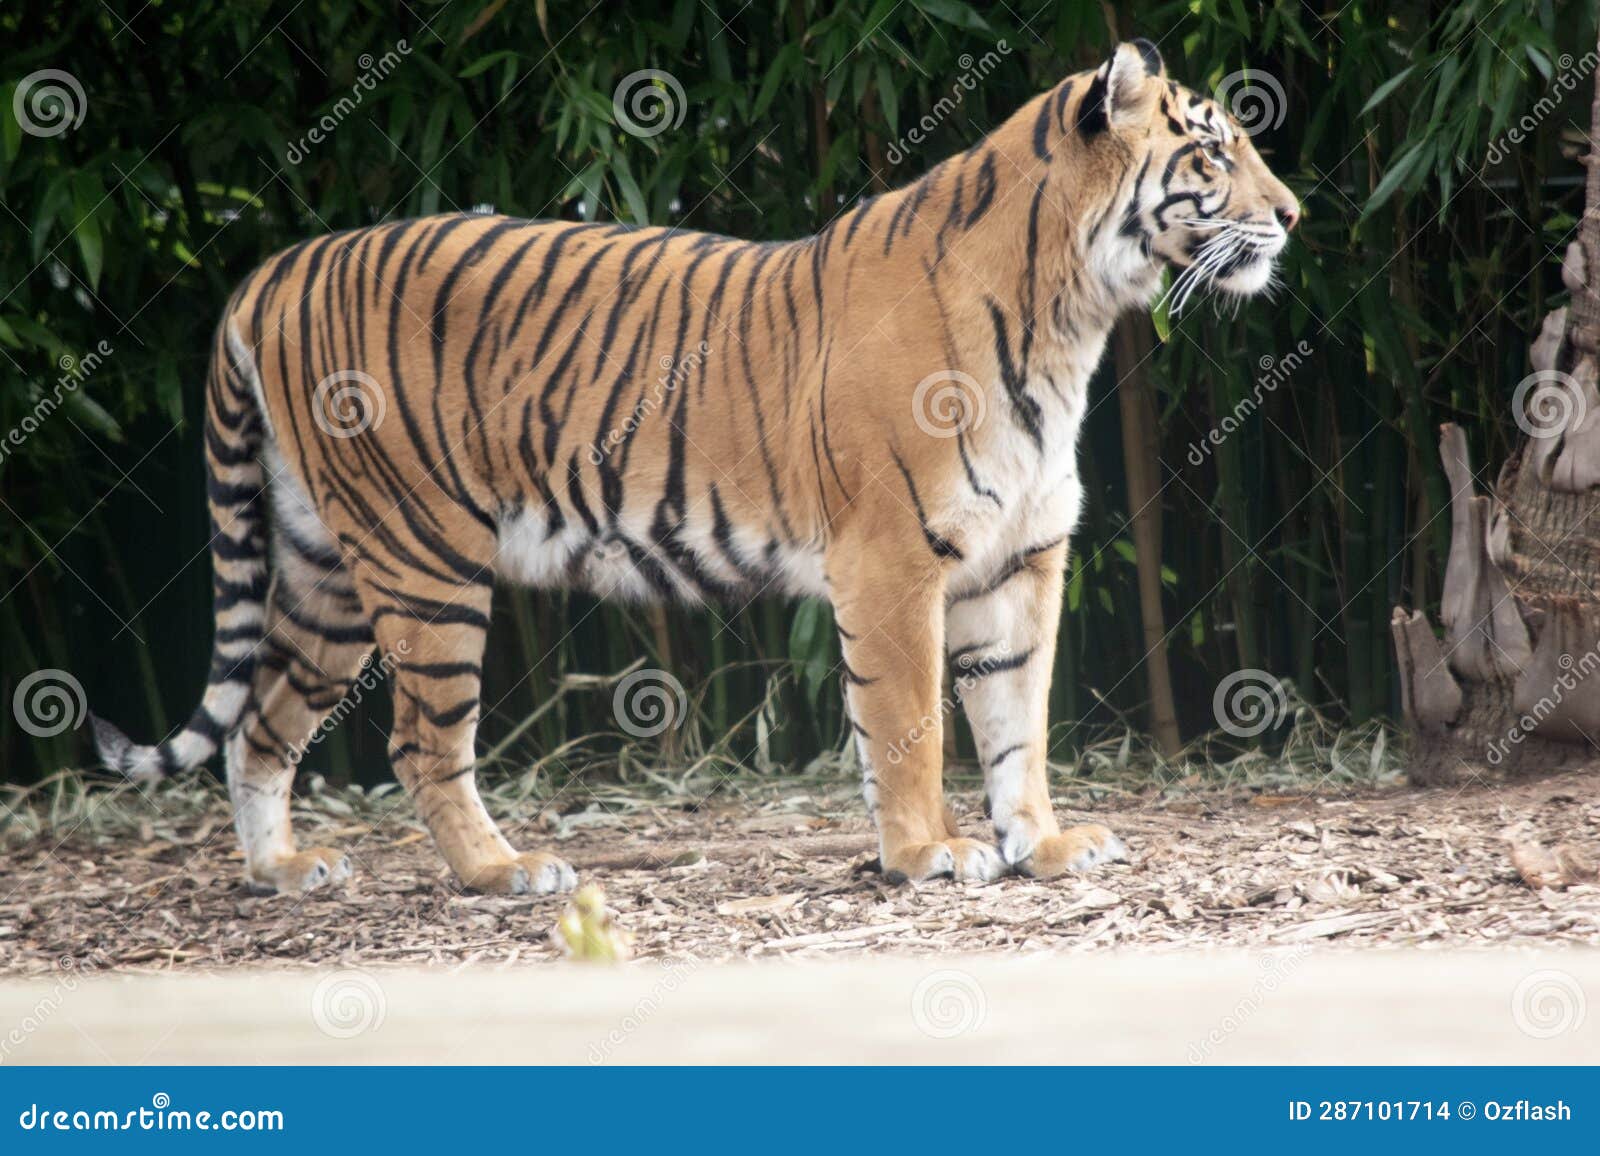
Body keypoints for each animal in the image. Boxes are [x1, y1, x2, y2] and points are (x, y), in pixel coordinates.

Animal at [90, 40, 1298, 895]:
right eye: (1212, 154)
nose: (1291, 216)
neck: (1074, 314)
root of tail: (272, 268)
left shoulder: (1022, 556)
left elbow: (1017, 720)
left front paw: (1041, 846)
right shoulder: (892, 562)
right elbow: (910, 724)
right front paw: (927, 855)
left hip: (326, 568)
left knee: (260, 723)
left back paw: (282, 872)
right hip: (422, 559)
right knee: (419, 741)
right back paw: (504, 873)